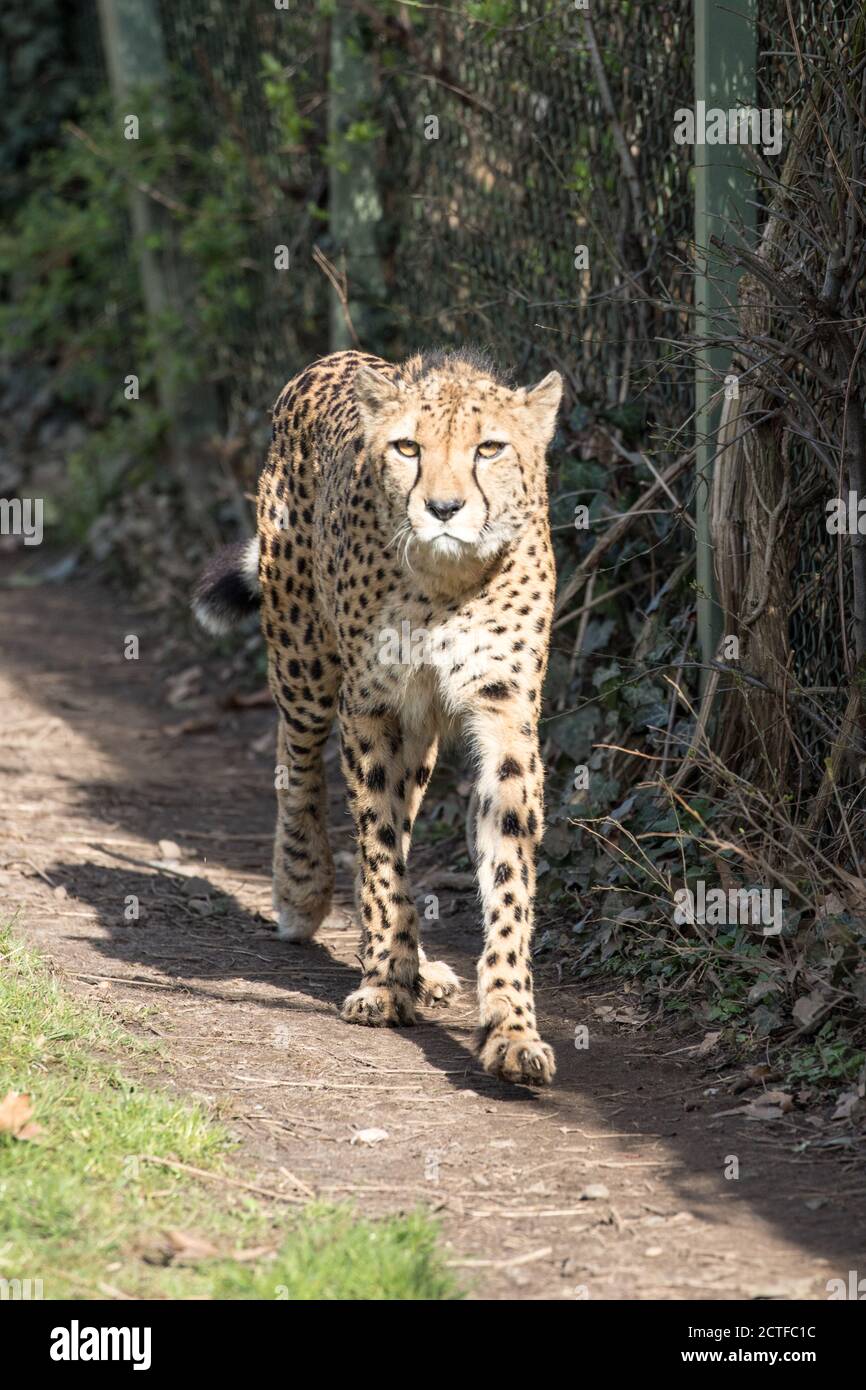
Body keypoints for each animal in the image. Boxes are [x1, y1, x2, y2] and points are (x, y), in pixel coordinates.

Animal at [193, 347, 562, 1086]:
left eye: (489, 448)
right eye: (407, 448)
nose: (443, 508)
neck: (448, 583)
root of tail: (336, 359)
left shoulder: (503, 714)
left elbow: (506, 874)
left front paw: (510, 1027)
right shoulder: (370, 707)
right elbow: (380, 852)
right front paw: (386, 983)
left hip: (417, 733)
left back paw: (418, 965)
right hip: (305, 660)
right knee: (298, 760)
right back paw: (304, 889)